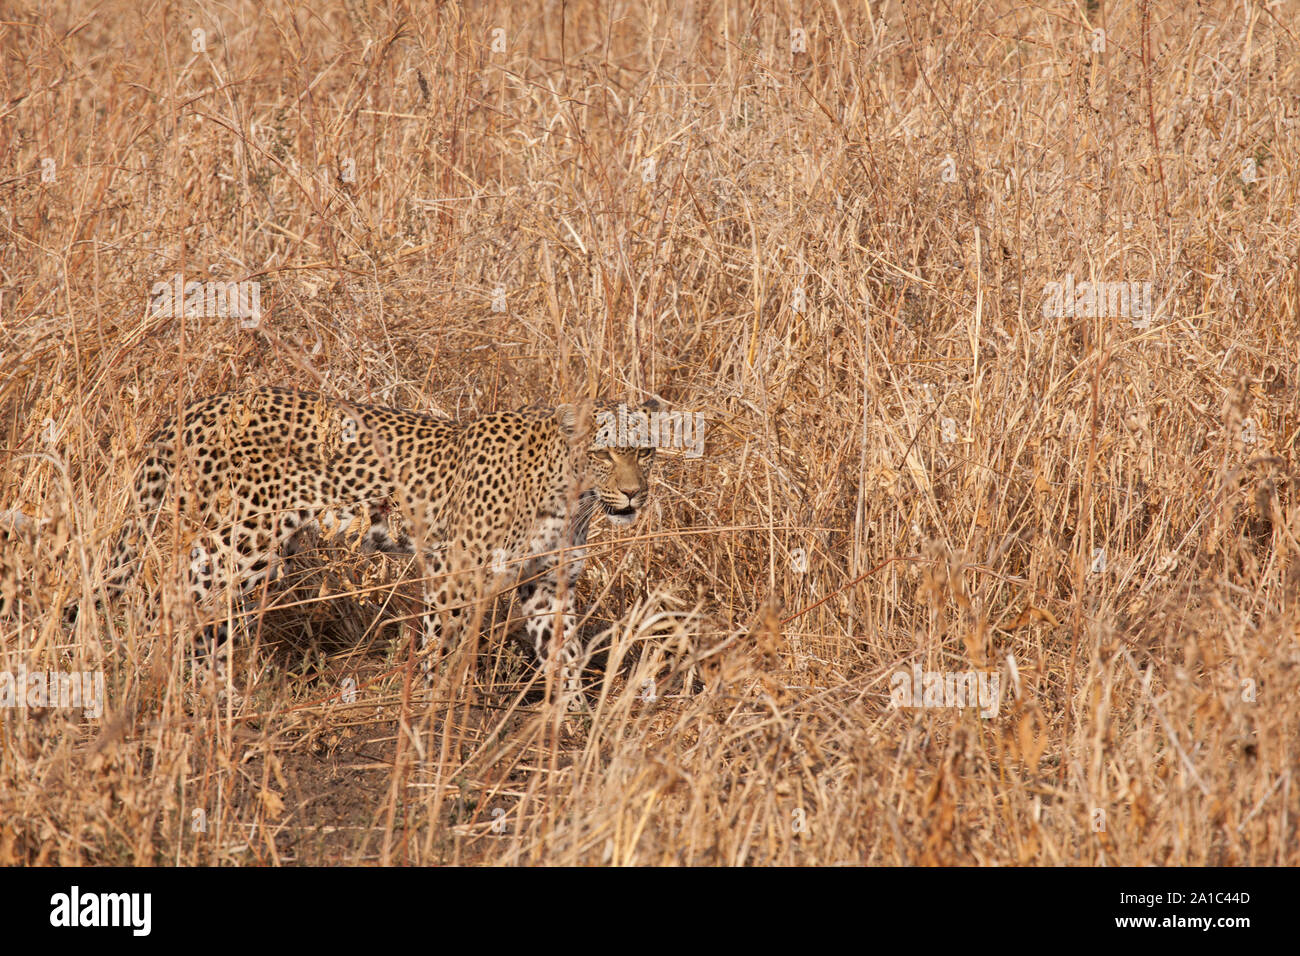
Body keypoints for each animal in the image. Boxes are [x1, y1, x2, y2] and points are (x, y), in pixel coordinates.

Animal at [98, 385, 660, 707]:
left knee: (200, 617)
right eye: (604, 453)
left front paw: (576, 720)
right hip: (239, 542)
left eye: (647, 451)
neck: (570, 495)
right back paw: (173, 687)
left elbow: (564, 652)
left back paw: (218, 695)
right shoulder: (454, 572)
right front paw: (436, 715)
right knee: (163, 603)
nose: (636, 494)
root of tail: (194, 408)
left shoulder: (547, 582)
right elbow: (442, 650)